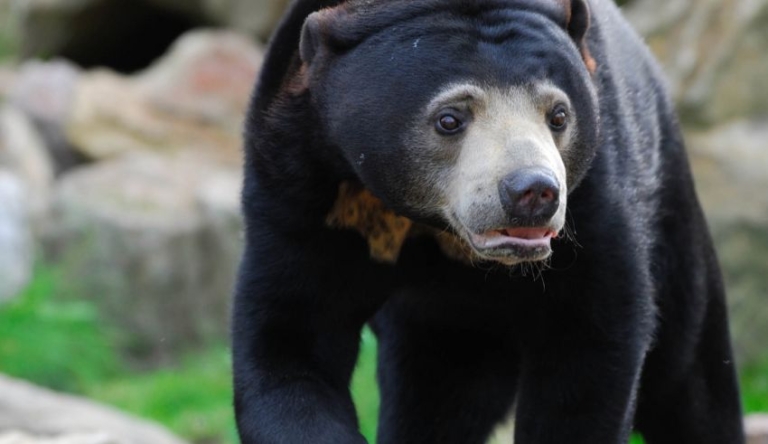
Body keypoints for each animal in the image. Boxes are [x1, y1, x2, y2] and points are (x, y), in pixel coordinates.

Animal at [232, 0, 746, 443]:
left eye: (559, 115)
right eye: (449, 119)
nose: (533, 192)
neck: (437, 231)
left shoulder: (598, 200)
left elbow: (591, 343)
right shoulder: (297, 185)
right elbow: (289, 341)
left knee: (691, 379)